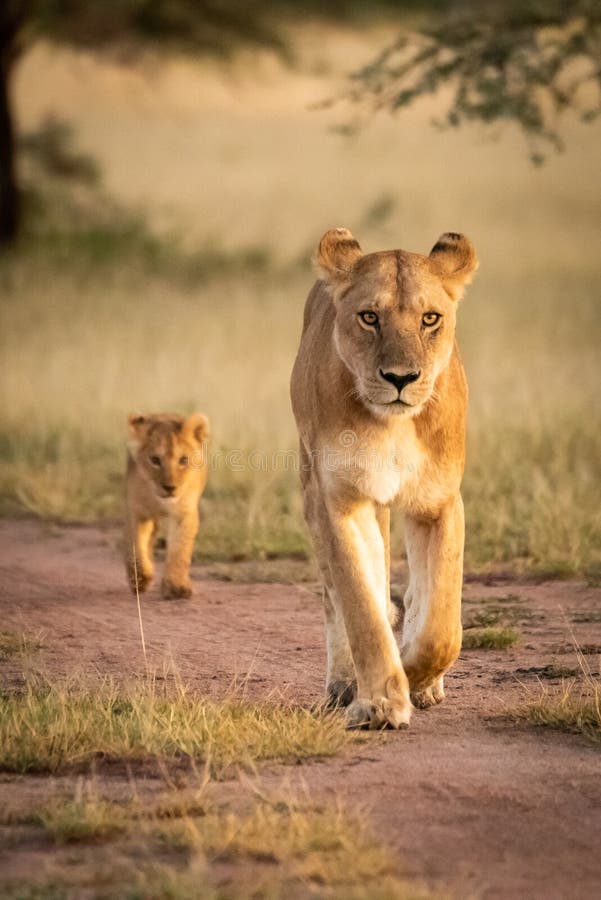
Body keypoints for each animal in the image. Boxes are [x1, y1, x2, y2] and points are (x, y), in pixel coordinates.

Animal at [125, 412, 209, 599]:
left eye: (183, 460)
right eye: (155, 460)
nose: (170, 488)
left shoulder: (184, 514)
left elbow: (180, 549)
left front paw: (177, 586)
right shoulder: (138, 512)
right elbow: (136, 545)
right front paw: (141, 578)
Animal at [290, 228, 478, 729]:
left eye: (430, 318)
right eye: (369, 317)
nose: (400, 378)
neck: (392, 425)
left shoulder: (440, 501)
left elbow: (442, 624)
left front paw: (416, 676)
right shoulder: (341, 501)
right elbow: (362, 605)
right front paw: (379, 701)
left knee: (417, 594)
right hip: (311, 490)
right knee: (338, 594)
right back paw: (343, 684)